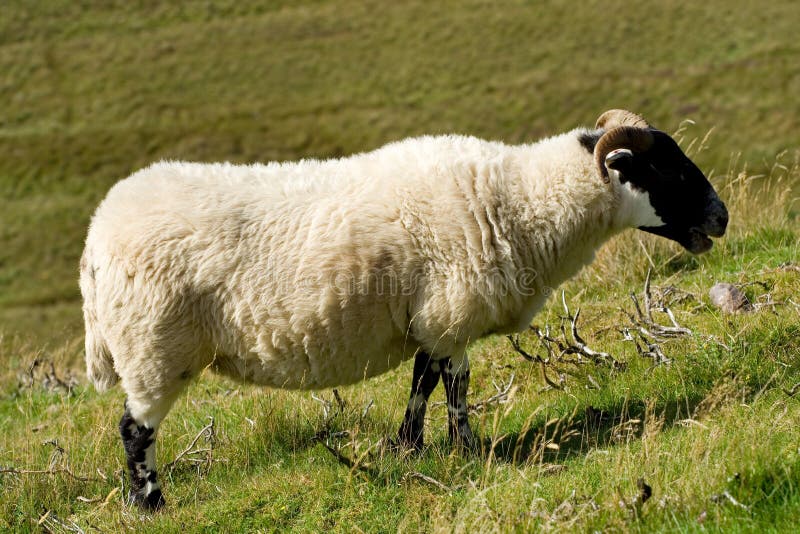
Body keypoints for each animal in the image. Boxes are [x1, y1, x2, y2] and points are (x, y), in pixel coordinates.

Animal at [80, 109, 728, 509]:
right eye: (663, 168)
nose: (721, 218)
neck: (519, 199)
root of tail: (96, 236)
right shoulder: (454, 309)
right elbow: (456, 387)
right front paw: (467, 452)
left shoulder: (434, 318)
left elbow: (424, 379)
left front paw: (410, 447)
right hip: (153, 348)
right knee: (135, 430)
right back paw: (151, 503)